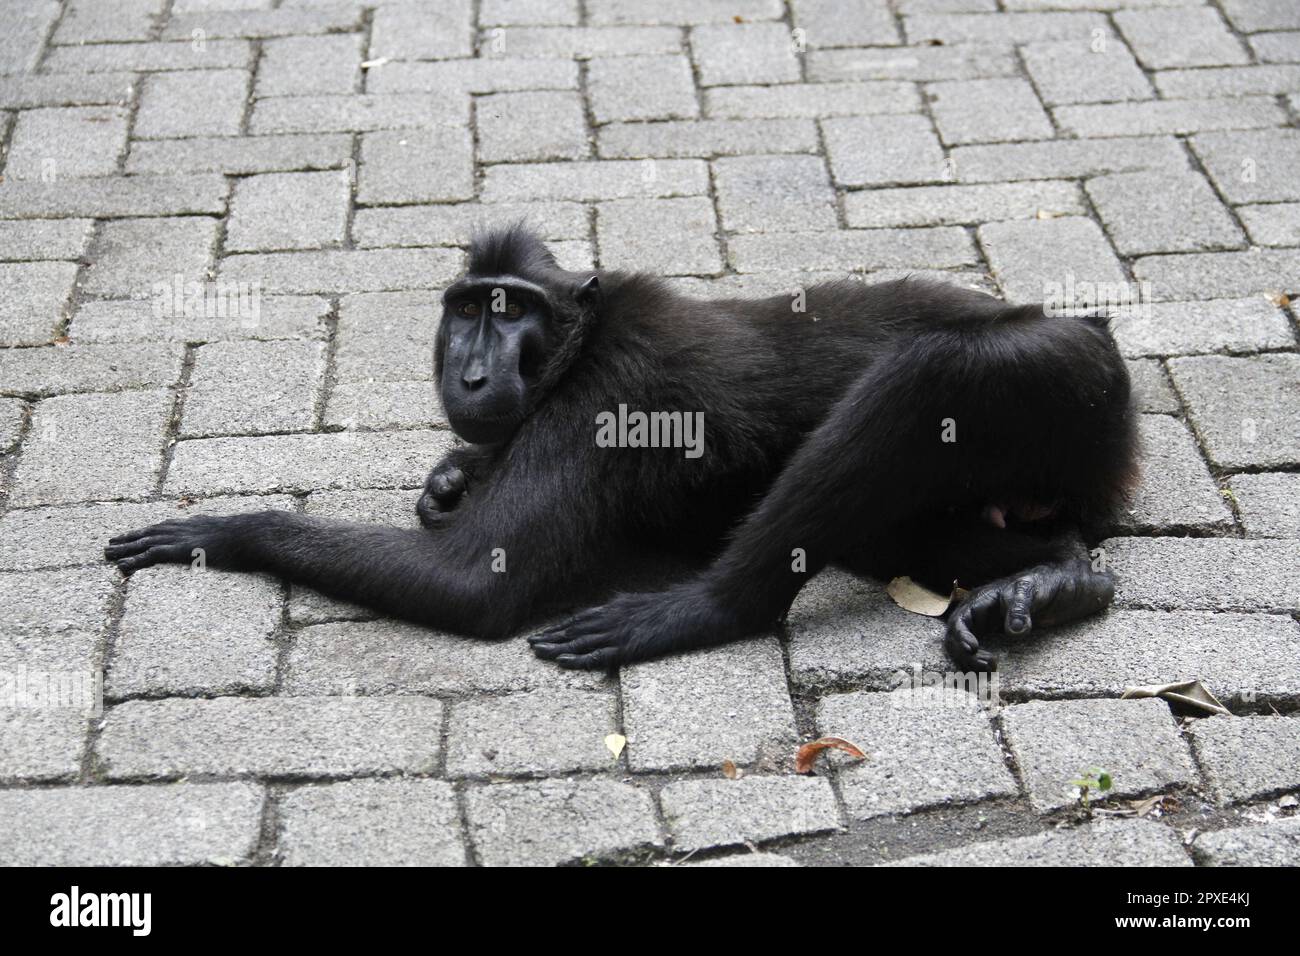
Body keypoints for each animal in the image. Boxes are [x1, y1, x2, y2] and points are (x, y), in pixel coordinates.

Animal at [106, 224, 1138, 672]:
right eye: (464, 310)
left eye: (508, 310)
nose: (471, 373)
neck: (575, 345)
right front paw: (453, 475)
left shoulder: (610, 396)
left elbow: (470, 584)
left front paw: (227, 532)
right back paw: (1055, 578)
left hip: (1074, 379)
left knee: (926, 377)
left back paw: (700, 612)